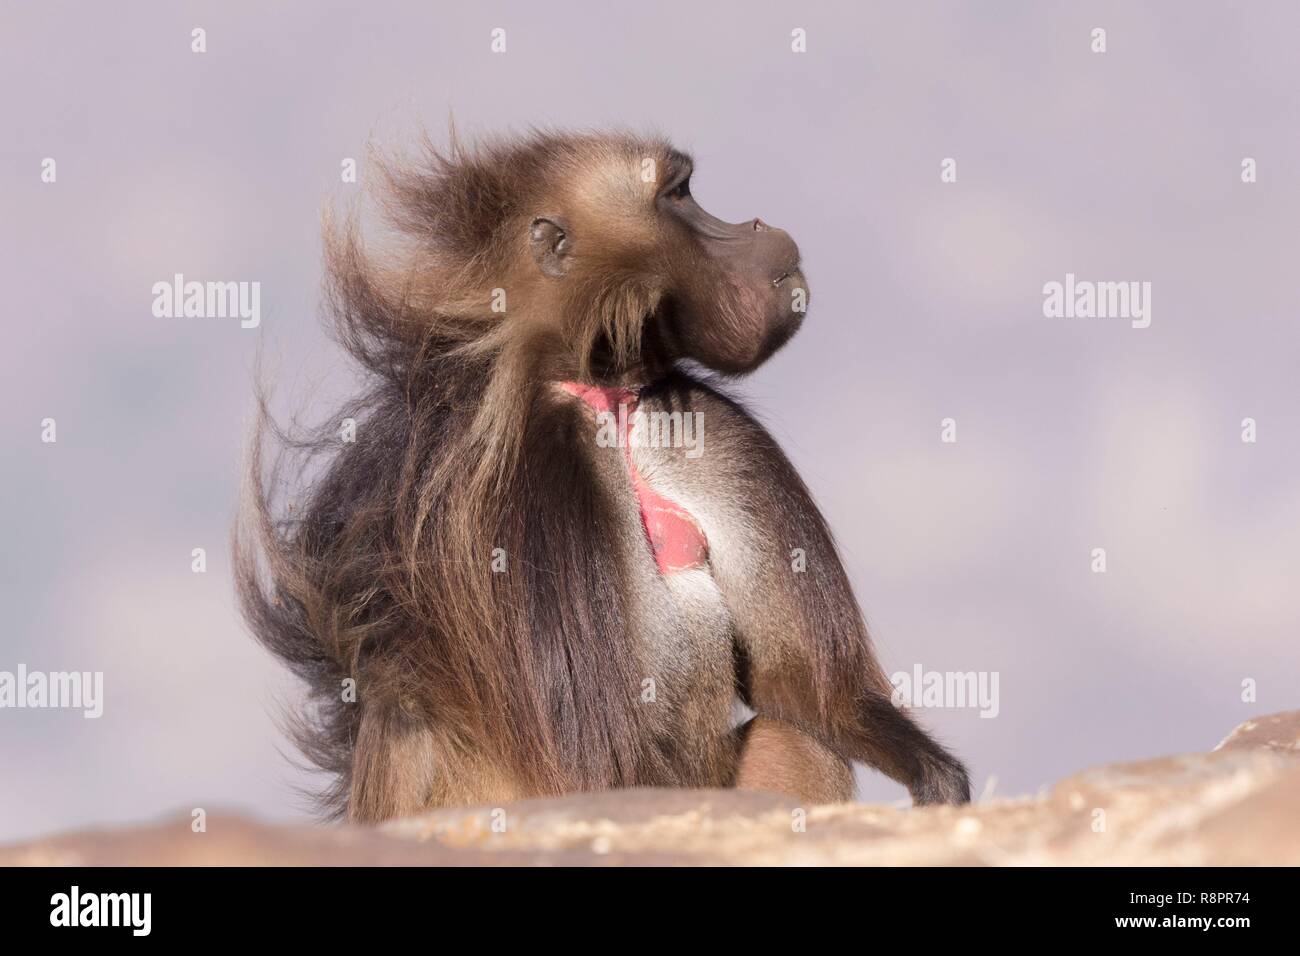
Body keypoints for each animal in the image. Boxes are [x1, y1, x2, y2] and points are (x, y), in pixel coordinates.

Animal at [235, 129, 970, 822]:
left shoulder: (702, 426)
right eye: (678, 195)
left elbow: (795, 684)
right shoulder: (535, 485)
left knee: (801, 735)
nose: (758, 224)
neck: (596, 389)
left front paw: (938, 778)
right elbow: (601, 759)